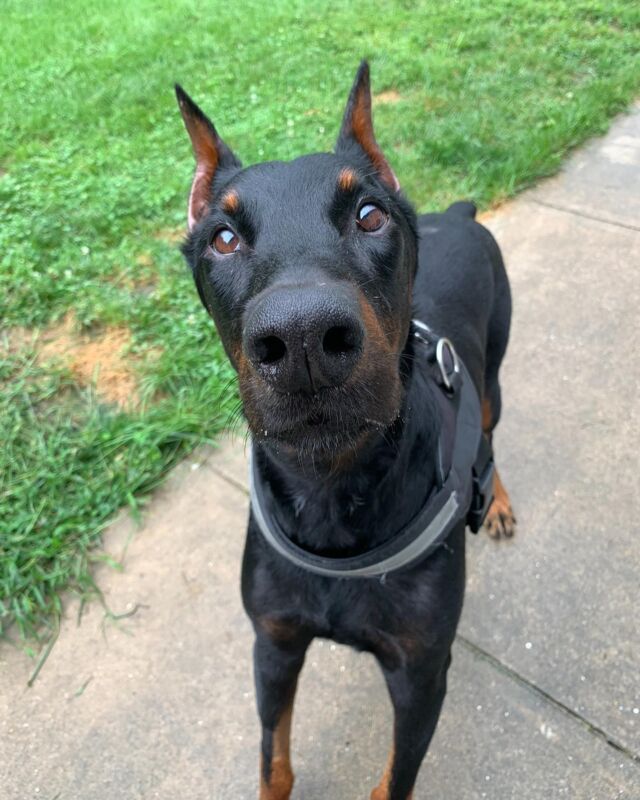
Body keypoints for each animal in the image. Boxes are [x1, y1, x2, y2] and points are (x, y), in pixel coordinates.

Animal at [176, 61, 514, 800]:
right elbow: (273, 761)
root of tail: (459, 215)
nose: (302, 337)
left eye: (370, 214)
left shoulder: (422, 675)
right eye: (223, 236)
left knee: (489, 432)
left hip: (493, 375)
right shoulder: (273, 642)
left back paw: (497, 500)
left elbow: (394, 780)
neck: (331, 487)